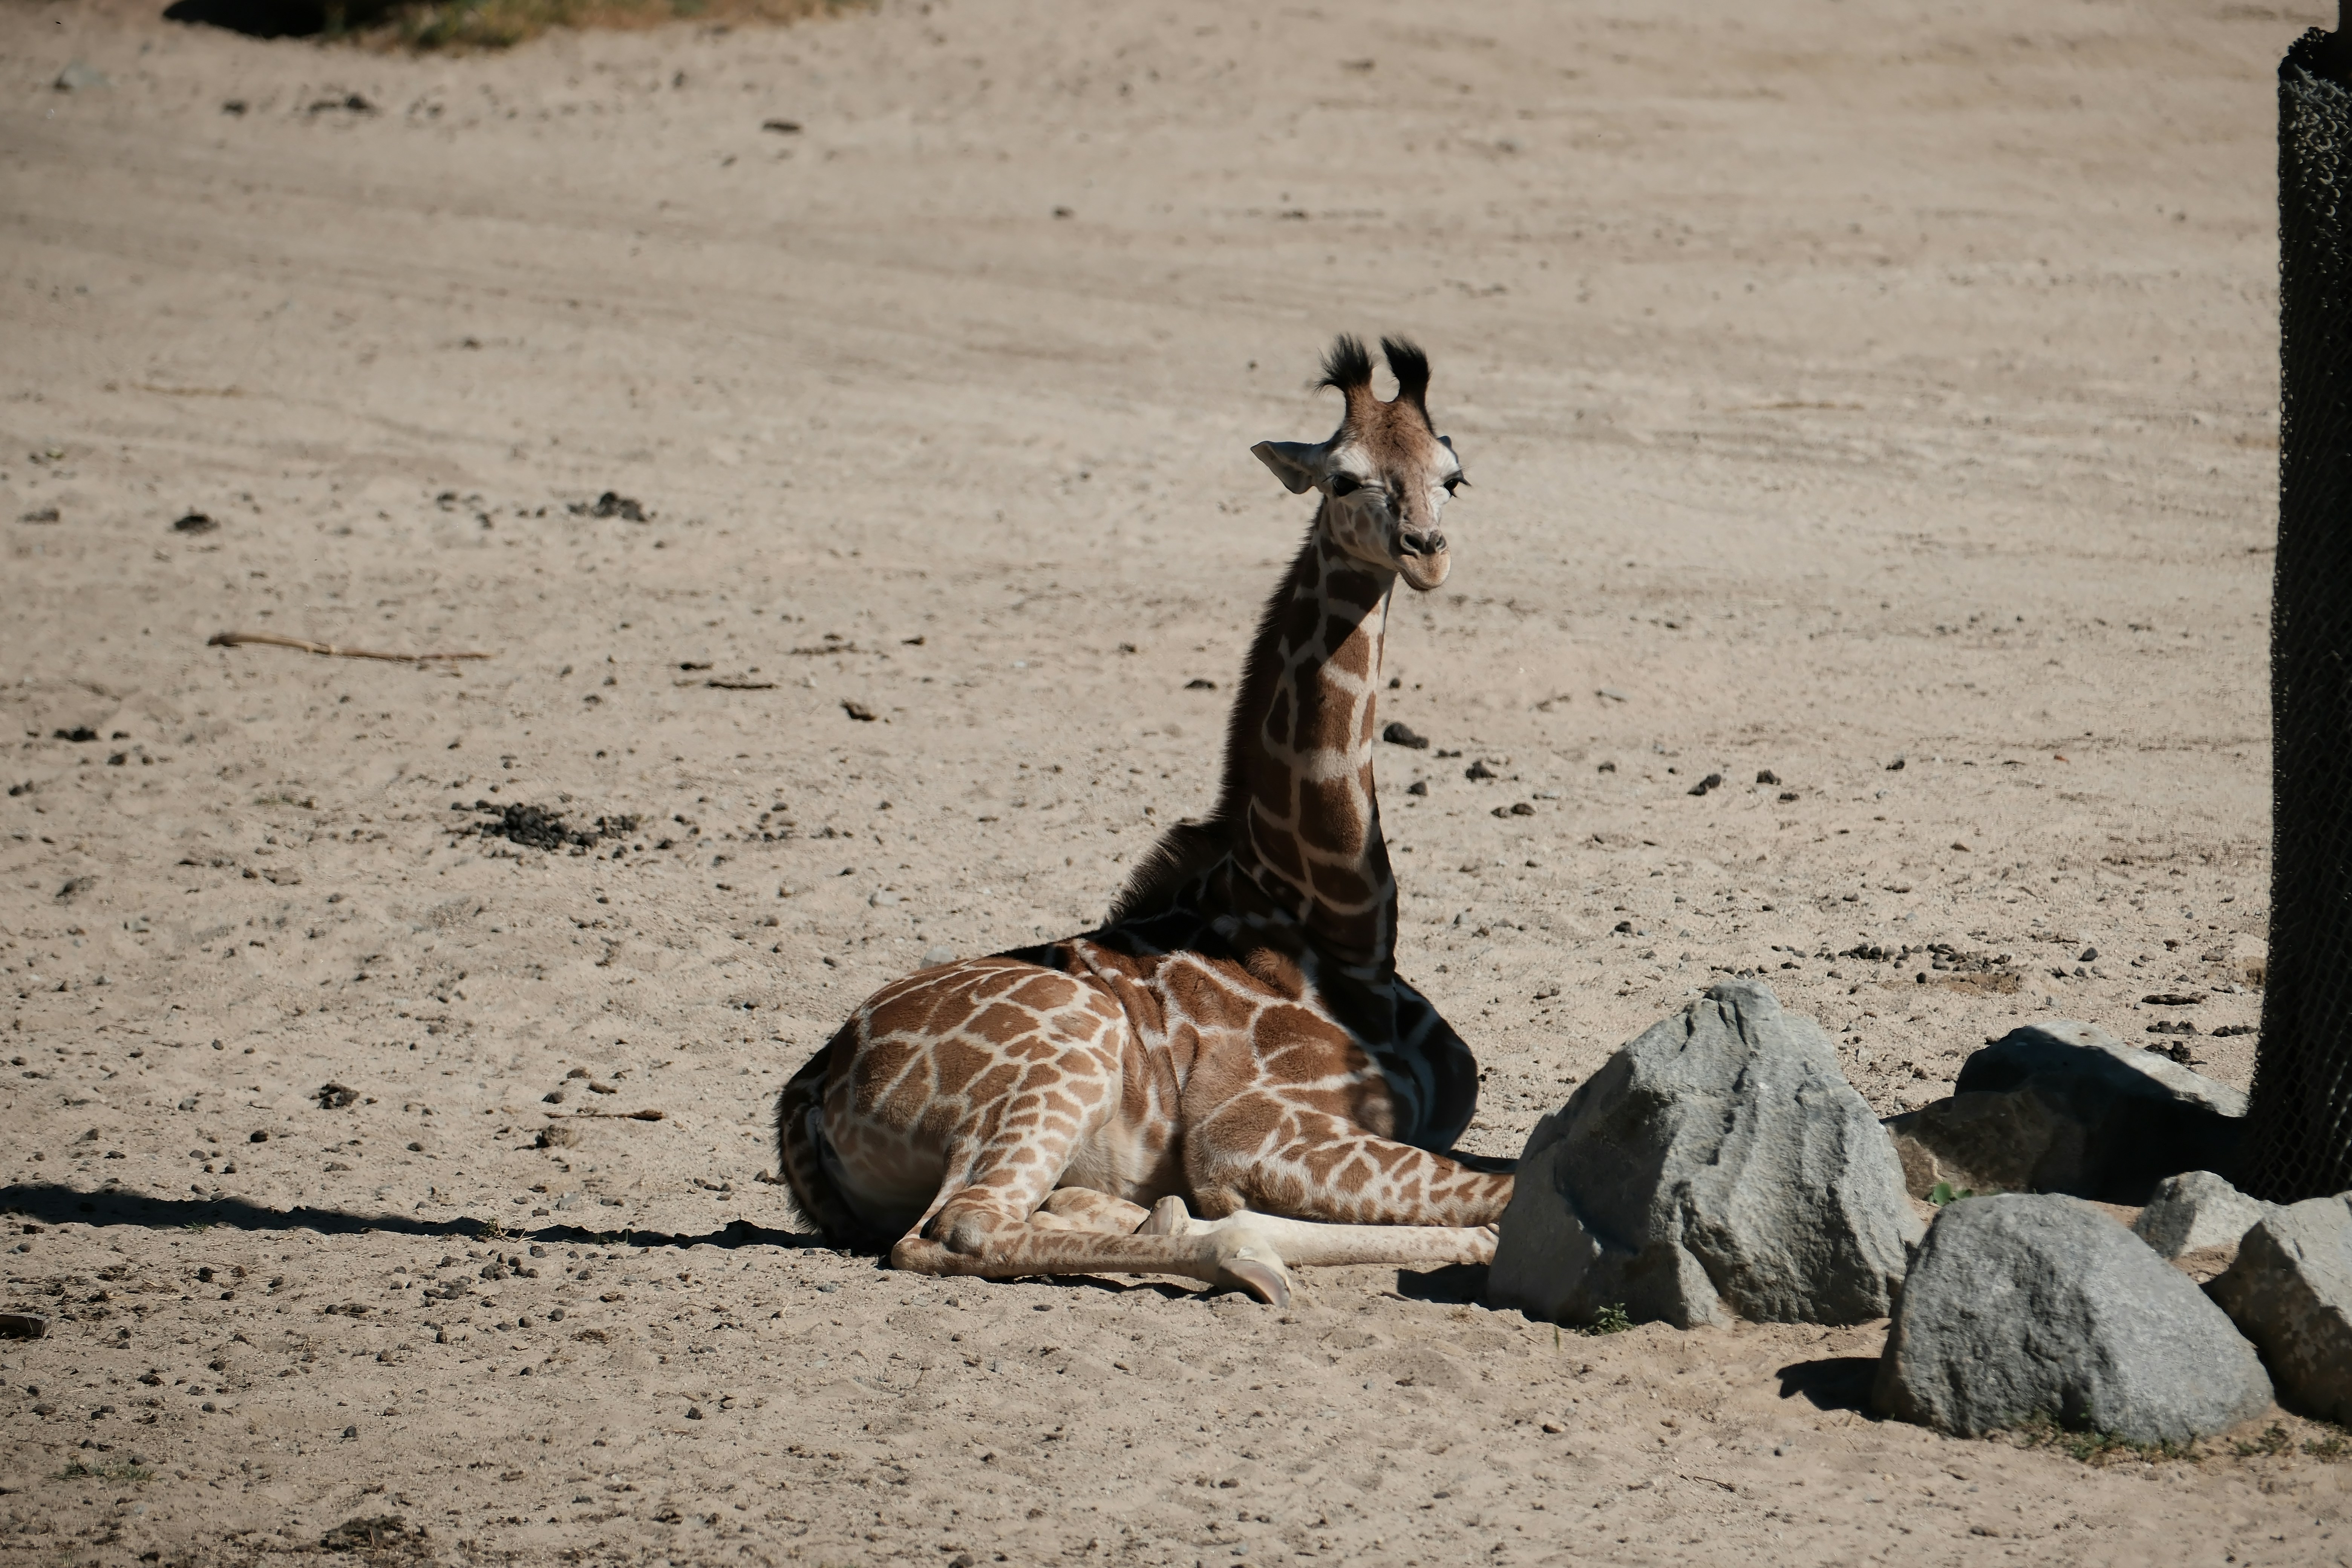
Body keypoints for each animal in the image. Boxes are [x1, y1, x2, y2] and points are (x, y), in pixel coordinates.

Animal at [775, 336, 1511, 1306]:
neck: (1343, 926)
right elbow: (1514, 1182)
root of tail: (807, 1091)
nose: (1426, 551)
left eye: (1453, 476)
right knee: (958, 1225)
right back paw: (1243, 1256)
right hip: (1069, 1050)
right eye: (1345, 478)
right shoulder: (1247, 1132)